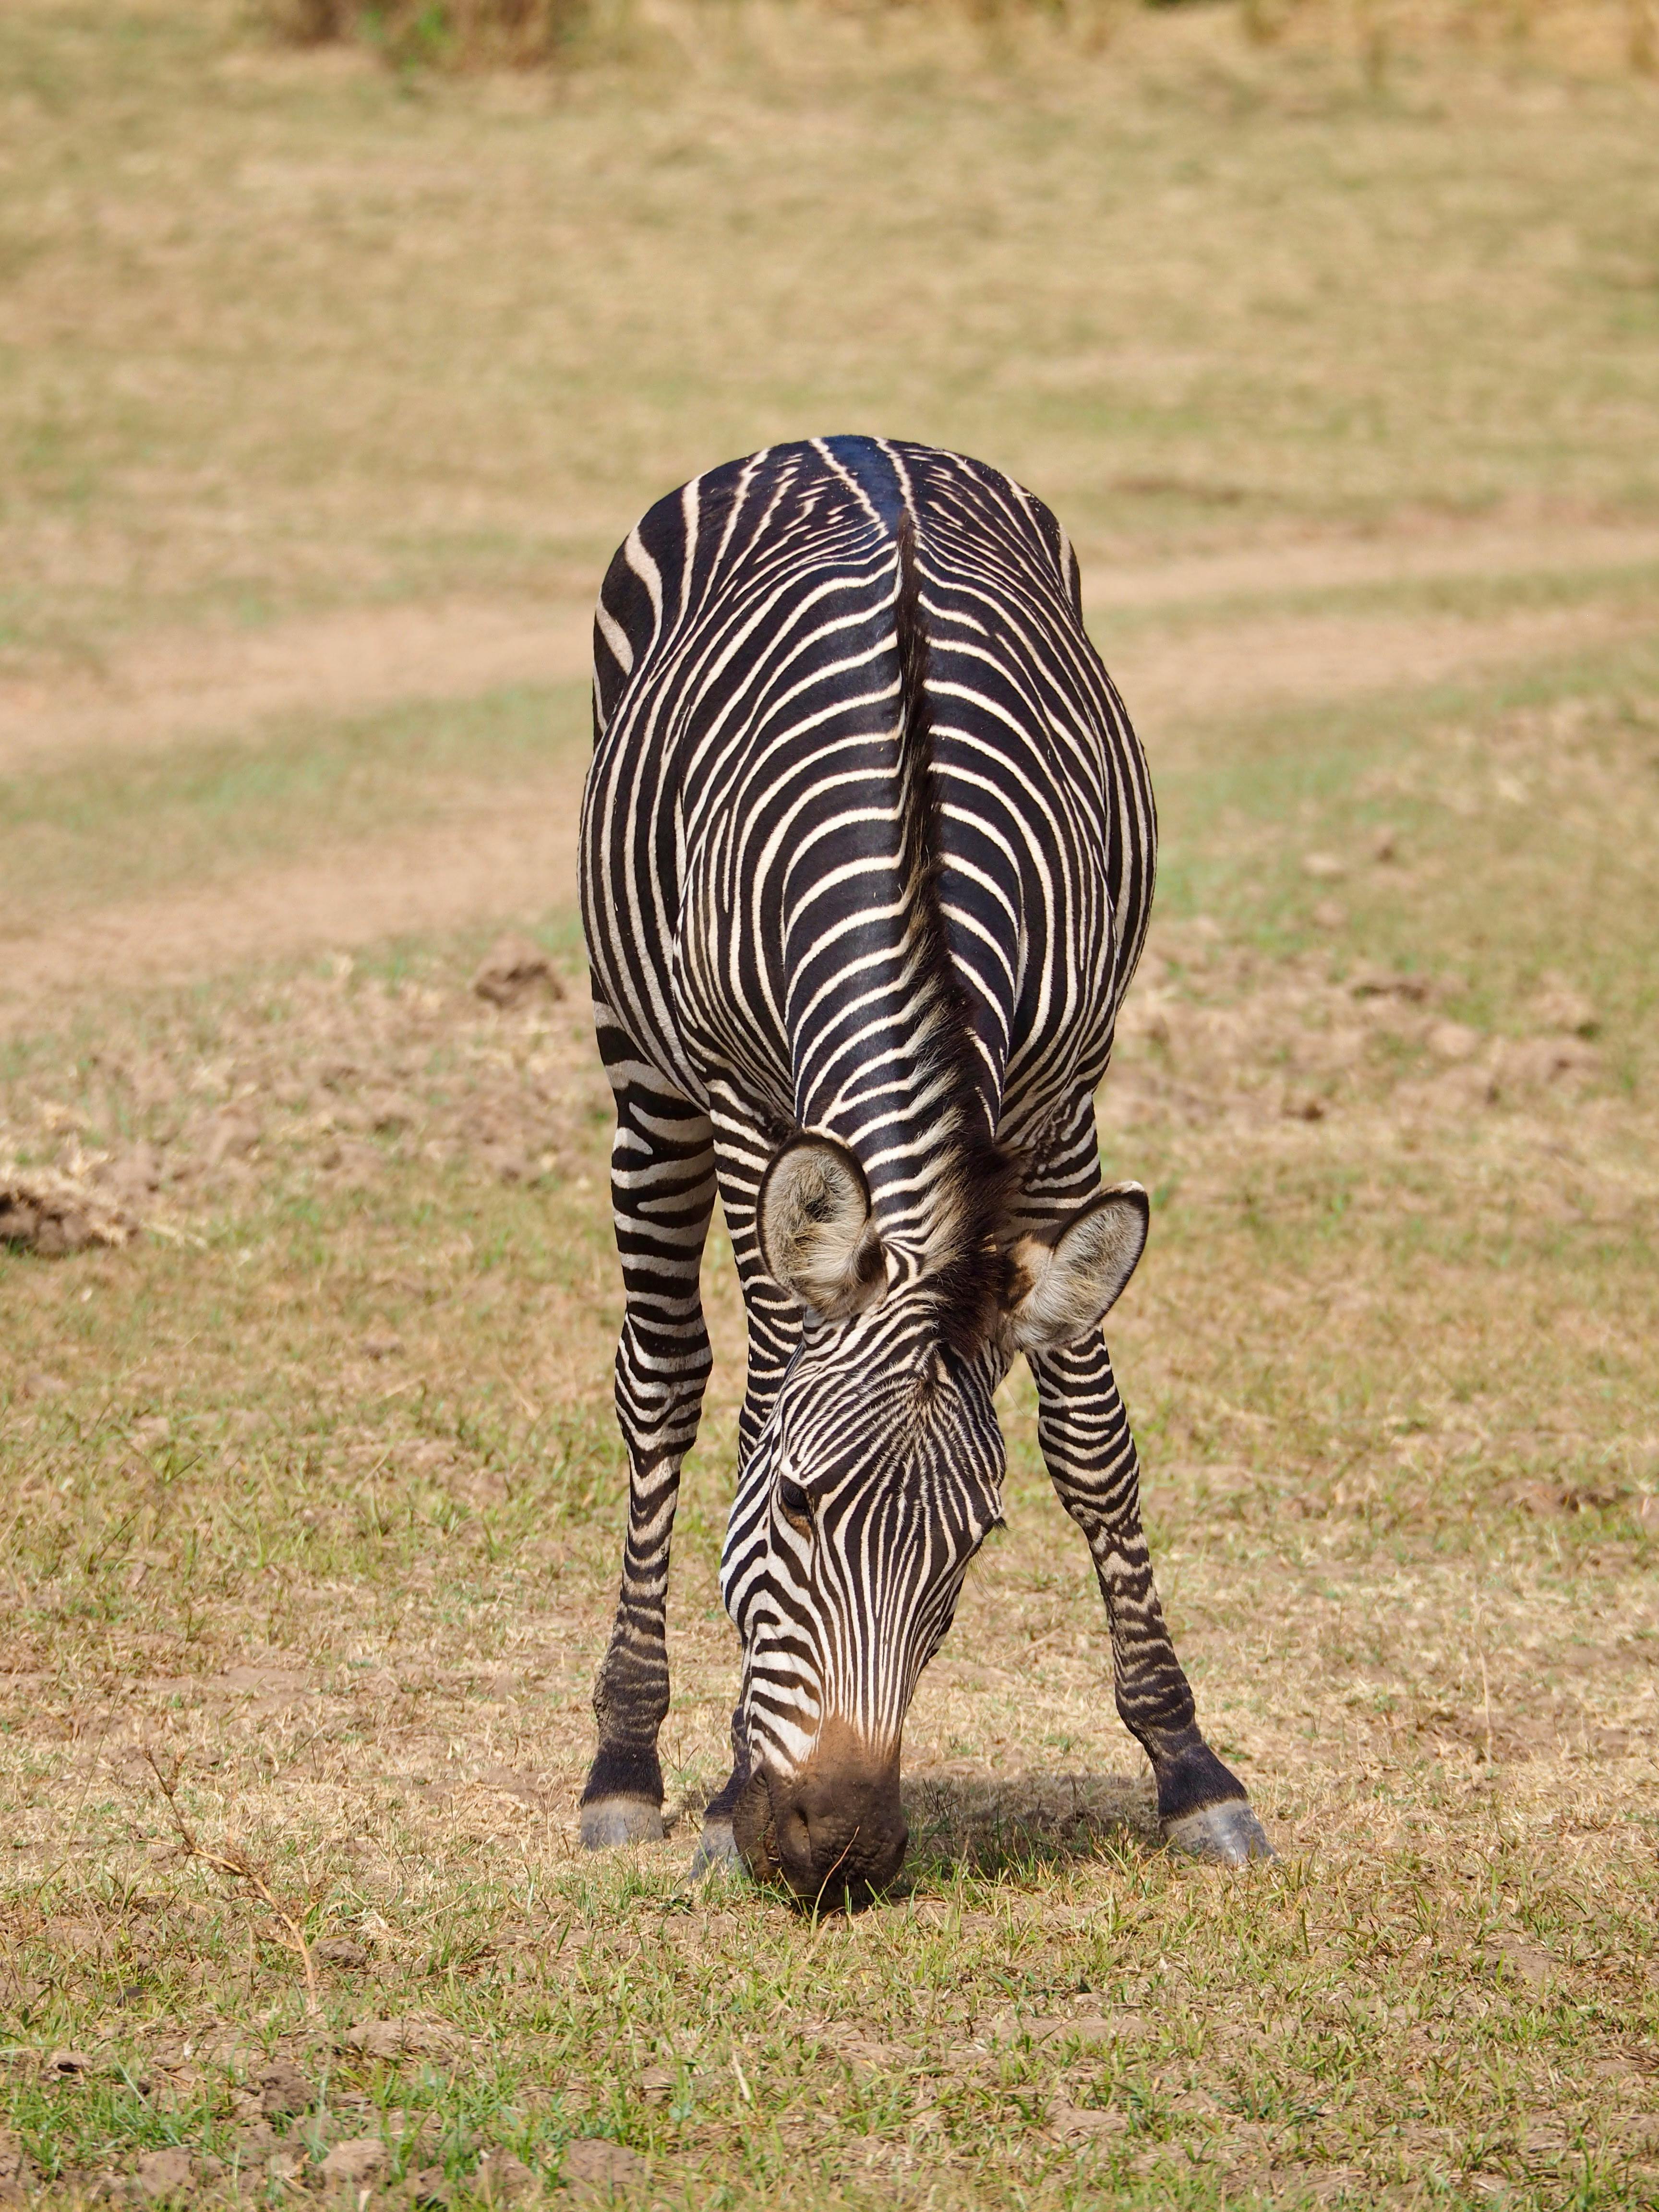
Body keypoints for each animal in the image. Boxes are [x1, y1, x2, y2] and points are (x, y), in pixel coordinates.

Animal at [577, 436, 1272, 1897]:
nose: (831, 1849)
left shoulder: (1066, 1096)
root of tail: (844, 440)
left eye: (976, 1541)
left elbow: (1092, 1437)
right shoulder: (748, 1102)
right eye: (790, 1505)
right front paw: (716, 1800)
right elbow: (760, 1393)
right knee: (660, 1379)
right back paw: (624, 1760)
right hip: (640, 1061)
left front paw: (1189, 1765)